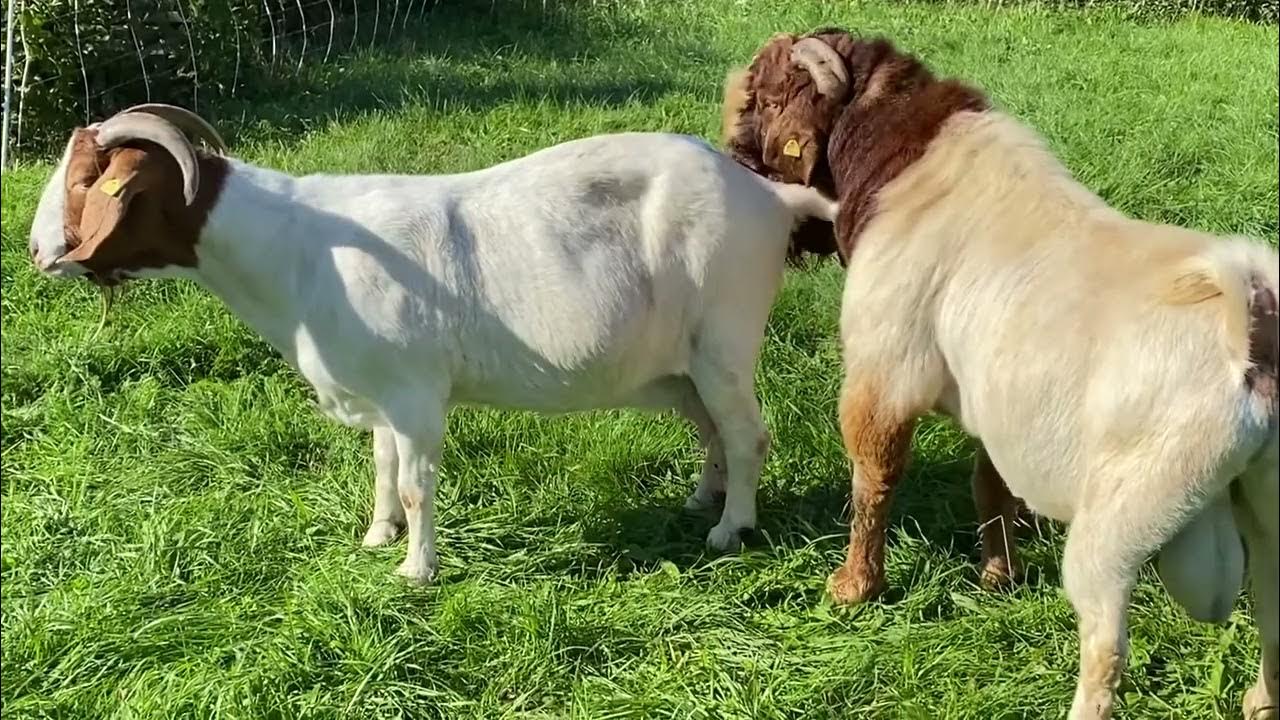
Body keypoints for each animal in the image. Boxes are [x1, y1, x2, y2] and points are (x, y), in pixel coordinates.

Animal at [29, 104, 839, 587]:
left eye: (89, 180)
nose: (37, 251)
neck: (297, 249)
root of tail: (772, 198)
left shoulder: (417, 392)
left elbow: (420, 482)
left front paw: (416, 572)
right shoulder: (382, 392)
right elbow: (385, 468)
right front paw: (377, 535)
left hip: (724, 339)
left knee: (747, 433)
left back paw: (731, 529)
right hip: (679, 365)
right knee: (712, 430)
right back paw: (705, 498)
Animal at [722, 30, 1279, 720]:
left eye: (764, 98)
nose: (734, 163)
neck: (906, 161)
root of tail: (1250, 333)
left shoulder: (883, 371)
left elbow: (872, 482)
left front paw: (854, 588)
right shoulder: (995, 399)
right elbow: (991, 486)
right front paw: (996, 577)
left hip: (1121, 522)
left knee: (1106, 650)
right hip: (1265, 507)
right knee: (1274, 616)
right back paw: (1260, 700)